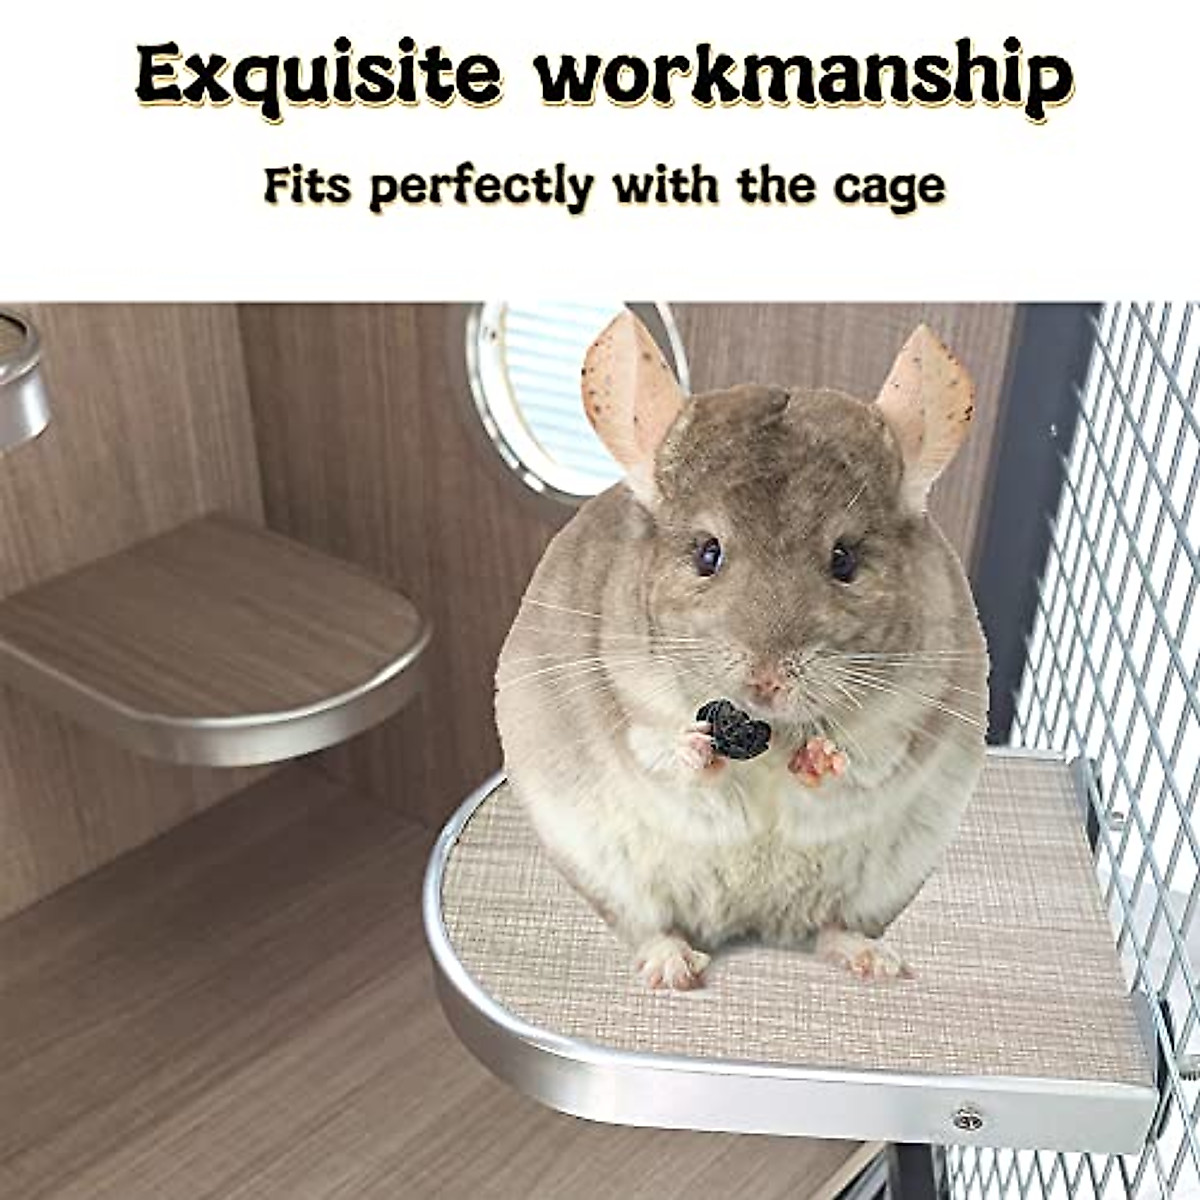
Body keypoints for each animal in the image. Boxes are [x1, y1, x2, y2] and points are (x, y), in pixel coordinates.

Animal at [495, 313, 988, 990]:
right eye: (708, 553)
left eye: (844, 559)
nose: (767, 680)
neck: (770, 735)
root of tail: (750, 925)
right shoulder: (626, 705)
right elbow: (660, 756)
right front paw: (697, 747)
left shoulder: (910, 722)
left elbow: (864, 761)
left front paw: (822, 757)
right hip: (607, 873)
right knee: (653, 926)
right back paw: (672, 968)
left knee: (831, 927)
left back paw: (871, 960)